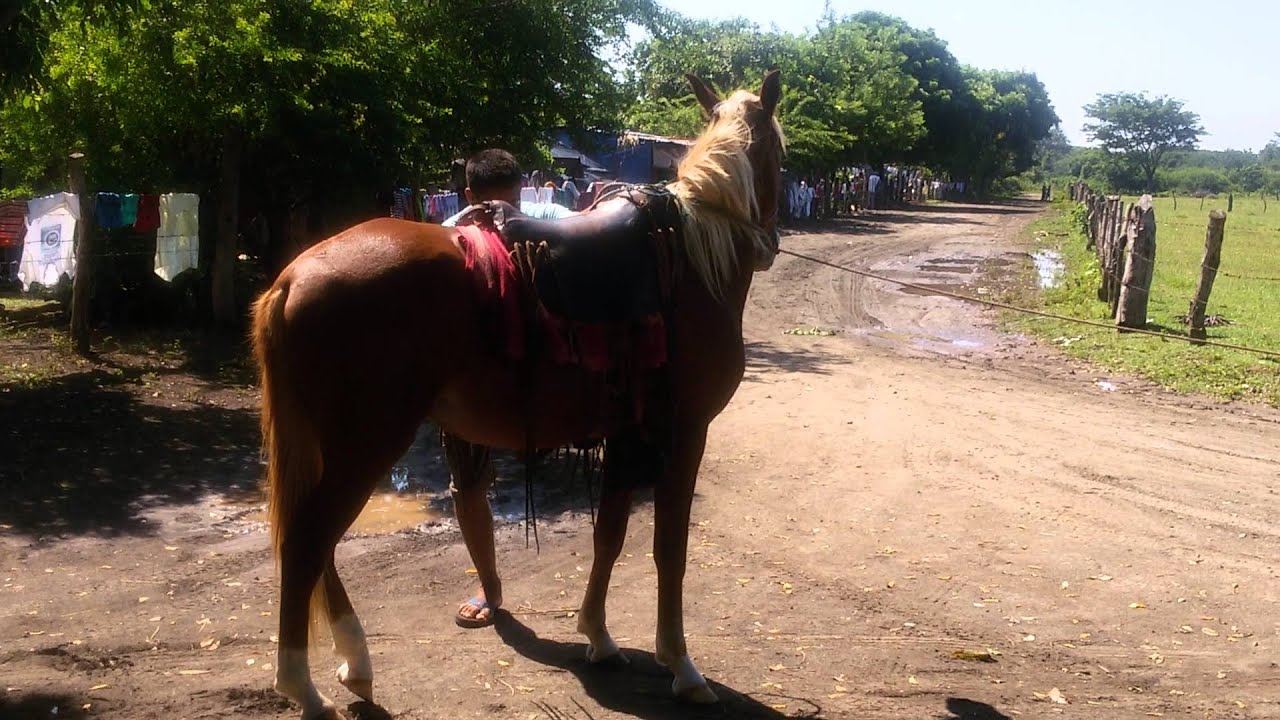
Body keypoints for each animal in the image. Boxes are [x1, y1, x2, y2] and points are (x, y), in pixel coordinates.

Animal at [250, 69, 785, 719]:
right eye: (780, 153)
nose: (769, 244)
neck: (688, 261)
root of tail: (292, 275)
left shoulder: (624, 436)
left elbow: (609, 535)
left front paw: (598, 637)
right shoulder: (682, 435)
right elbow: (670, 551)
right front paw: (681, 667)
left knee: (316, 545)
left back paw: (354, 664)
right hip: (365, 447)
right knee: (307, 541)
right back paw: (304, 688)